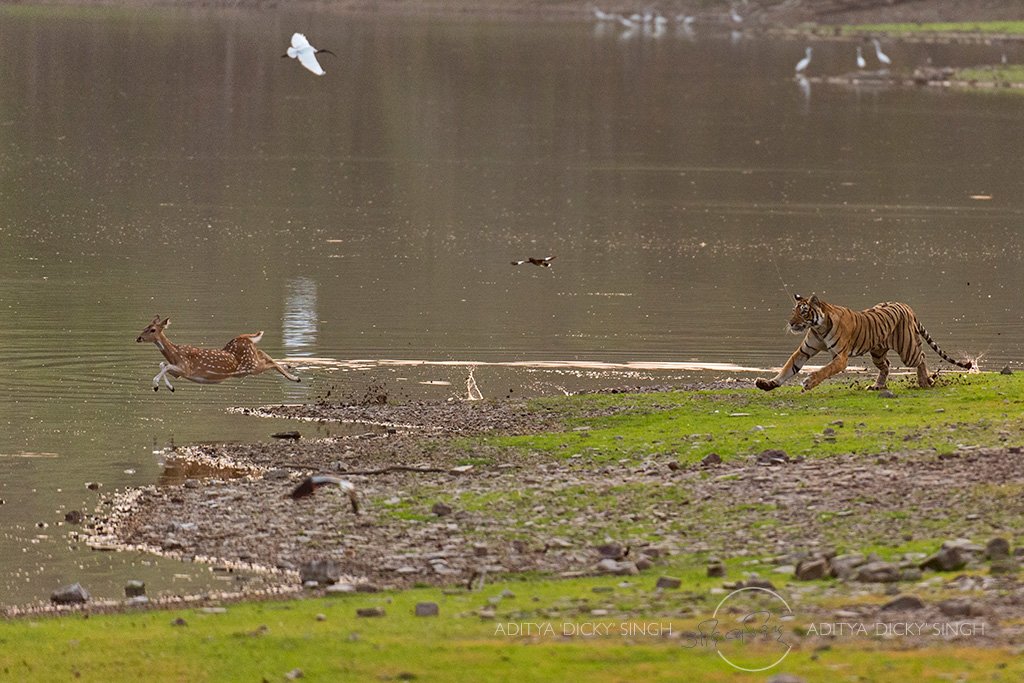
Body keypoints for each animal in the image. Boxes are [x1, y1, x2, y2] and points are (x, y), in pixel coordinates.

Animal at [136, 316, 300, 392]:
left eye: (152, 330)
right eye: (144, 327)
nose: (138, 338)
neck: (175, 354)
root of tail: (245, 337)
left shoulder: (186, 368)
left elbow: (165, 366)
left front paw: (156, 385)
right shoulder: (179, 372)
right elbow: (163, 364)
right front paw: (170, 387)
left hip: (251, 366)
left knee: (269, 362)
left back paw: (295, 377)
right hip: (251, 360)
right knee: (264, 354)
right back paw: (292, 372)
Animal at [755, 294, 973, 392]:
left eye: (803, 311)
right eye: (794, 311)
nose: (791, 323)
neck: (818, 327)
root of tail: (906, 306)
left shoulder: (840, 357)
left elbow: (824, 370)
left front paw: (809, 382)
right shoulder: (804, 351)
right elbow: (787, 368)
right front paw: (768, 383)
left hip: (907, 350)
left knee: (922, 357)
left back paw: (924, 381)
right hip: (877, 352)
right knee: (886, 365)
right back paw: (877, 385)